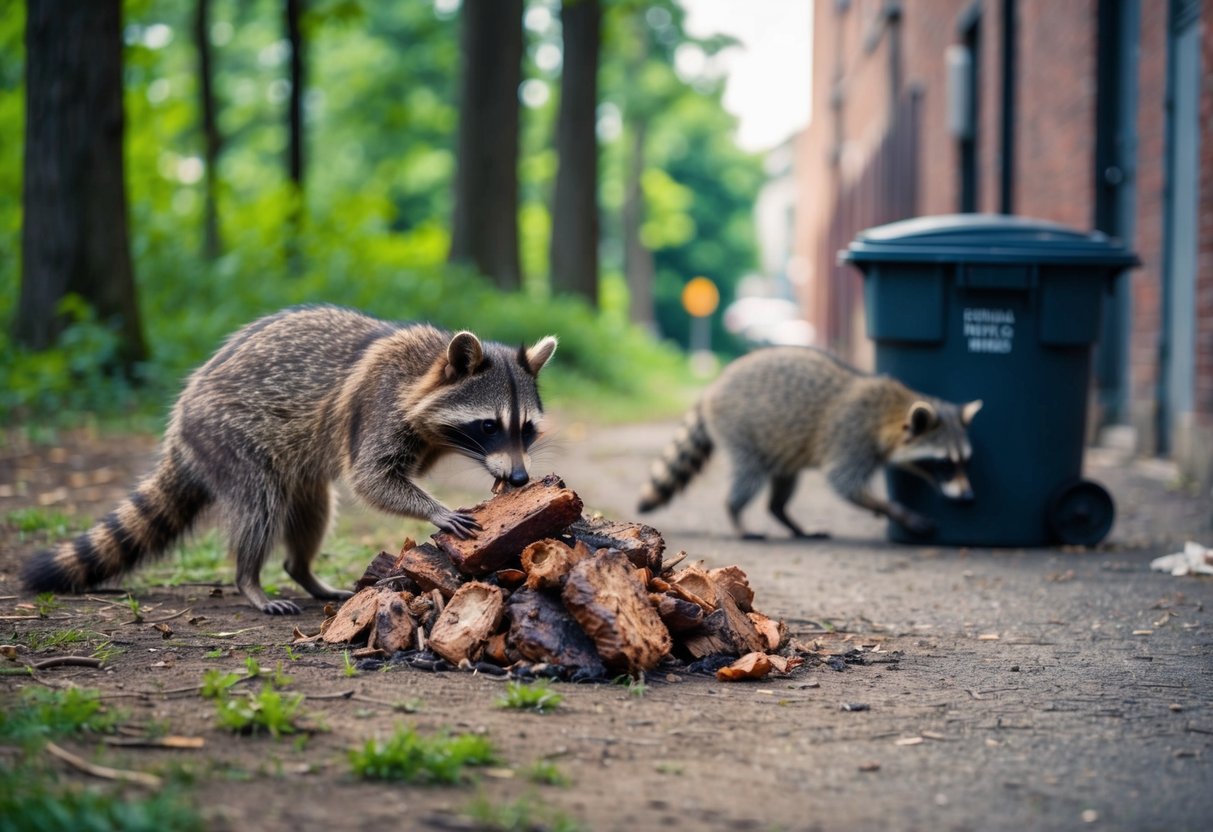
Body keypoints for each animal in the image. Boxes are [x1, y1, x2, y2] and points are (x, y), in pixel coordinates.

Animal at [22, 306, 558, 614]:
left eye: (526, 429)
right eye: (488, 426)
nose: (518, 477)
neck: (428, 368)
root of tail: (181, 424)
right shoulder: (378, 405)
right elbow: (371, 476)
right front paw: (435, 508)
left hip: (293, 466)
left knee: (312, 510)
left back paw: (303, 571)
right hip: (228, 438)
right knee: (259, 508)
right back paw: (249, 579)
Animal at [638, 346, 980, 539]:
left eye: (964, 461)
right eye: (944, 464)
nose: (968, 497)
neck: (891, 411)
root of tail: (714, 385)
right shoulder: (852, 436)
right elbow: (844, 482)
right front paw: (892, 509)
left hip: (779, 445)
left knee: (782, 485)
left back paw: (789, 521)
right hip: (740, 429)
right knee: (748, 477)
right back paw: (736, 515)